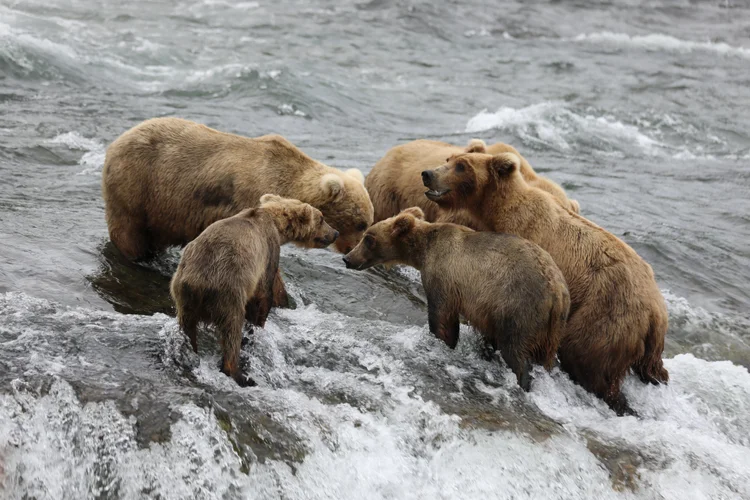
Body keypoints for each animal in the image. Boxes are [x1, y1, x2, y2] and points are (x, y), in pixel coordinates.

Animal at [102, 117, 373, 305]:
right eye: (360, 223)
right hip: (139, 186)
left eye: (368, 222)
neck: (286, 184)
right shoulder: (247, 200)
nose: (350, 250)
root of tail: (115, 143)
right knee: (129, 232)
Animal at [170, 194, 339, 386]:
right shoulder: (267, 253)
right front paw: (259, 324)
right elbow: (263, 295)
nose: (335, 233)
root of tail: (197, 283)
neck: (276, 223)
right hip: (228, 290)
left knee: (187, 327)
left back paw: (190, 350)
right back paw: (241, 375)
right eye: (322, 218)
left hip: (183, 293)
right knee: (232, 330)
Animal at [342, 207, 570, 390]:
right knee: (545, 357)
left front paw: (442, 340)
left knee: (515, 348)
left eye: (368, 238)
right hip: (553, 328)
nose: (347, 258)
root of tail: (556, 291)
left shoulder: (444, 278)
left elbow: (442, 316)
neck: (422, 252)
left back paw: (521, 380)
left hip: (518, 305)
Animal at [421, 150, 669, 415]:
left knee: (585, 356)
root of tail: (658, 312)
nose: (428, 174)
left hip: (607, 314)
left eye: (461, 166)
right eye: (449, 159)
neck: (496, 212)